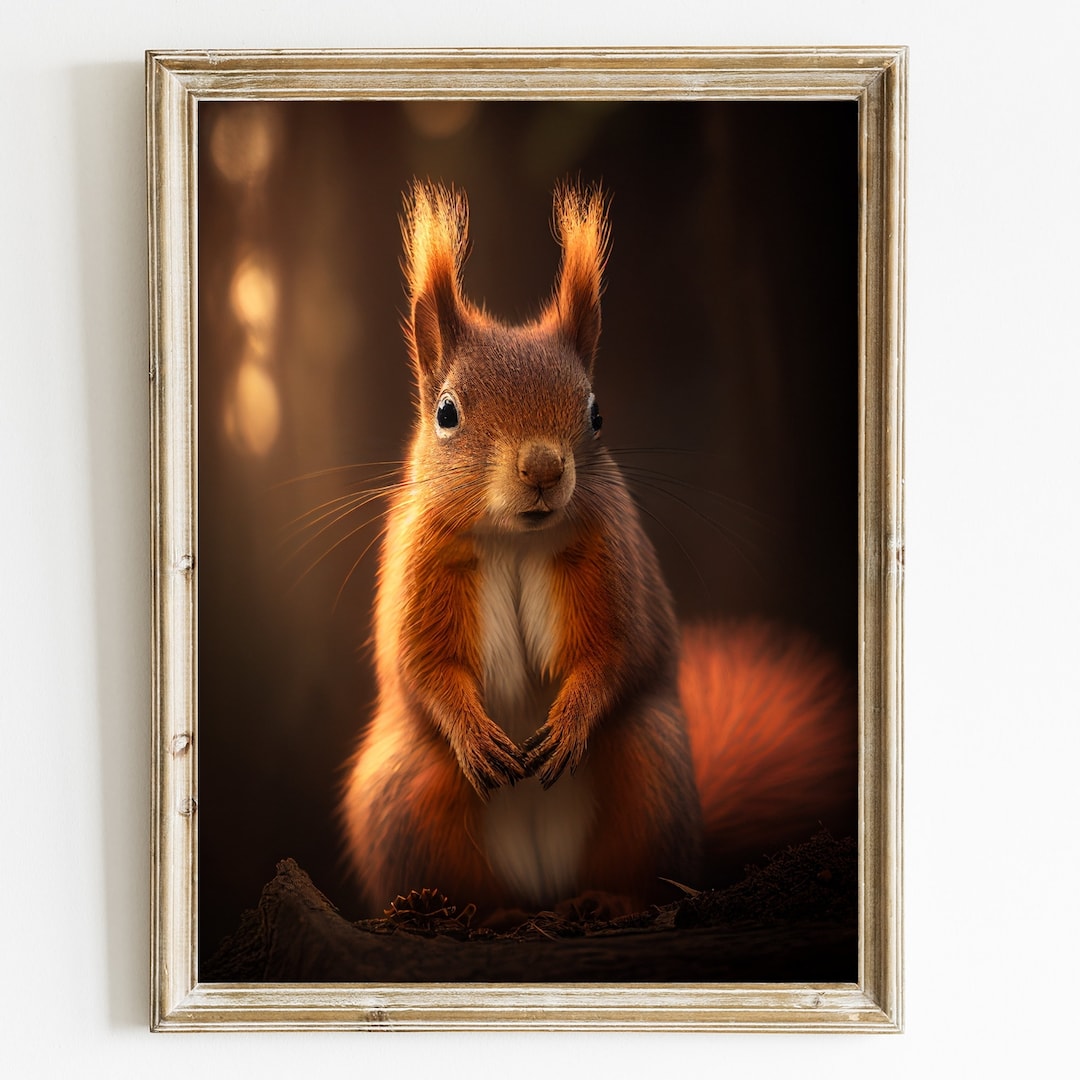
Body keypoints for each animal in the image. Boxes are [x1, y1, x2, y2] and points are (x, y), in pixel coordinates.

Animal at [338, 180, 856, 919]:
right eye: (447, 414)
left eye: (596, 412)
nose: (543, 468)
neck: (516, 541)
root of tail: (543, 889)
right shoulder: (423, 565)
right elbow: (423, 667)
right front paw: (473, 733)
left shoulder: (611, 558)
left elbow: (615, 651)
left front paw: (571, 720)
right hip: (404, 799)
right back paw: (476, 914)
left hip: (649, 768)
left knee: (637, 868)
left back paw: (607, 904)